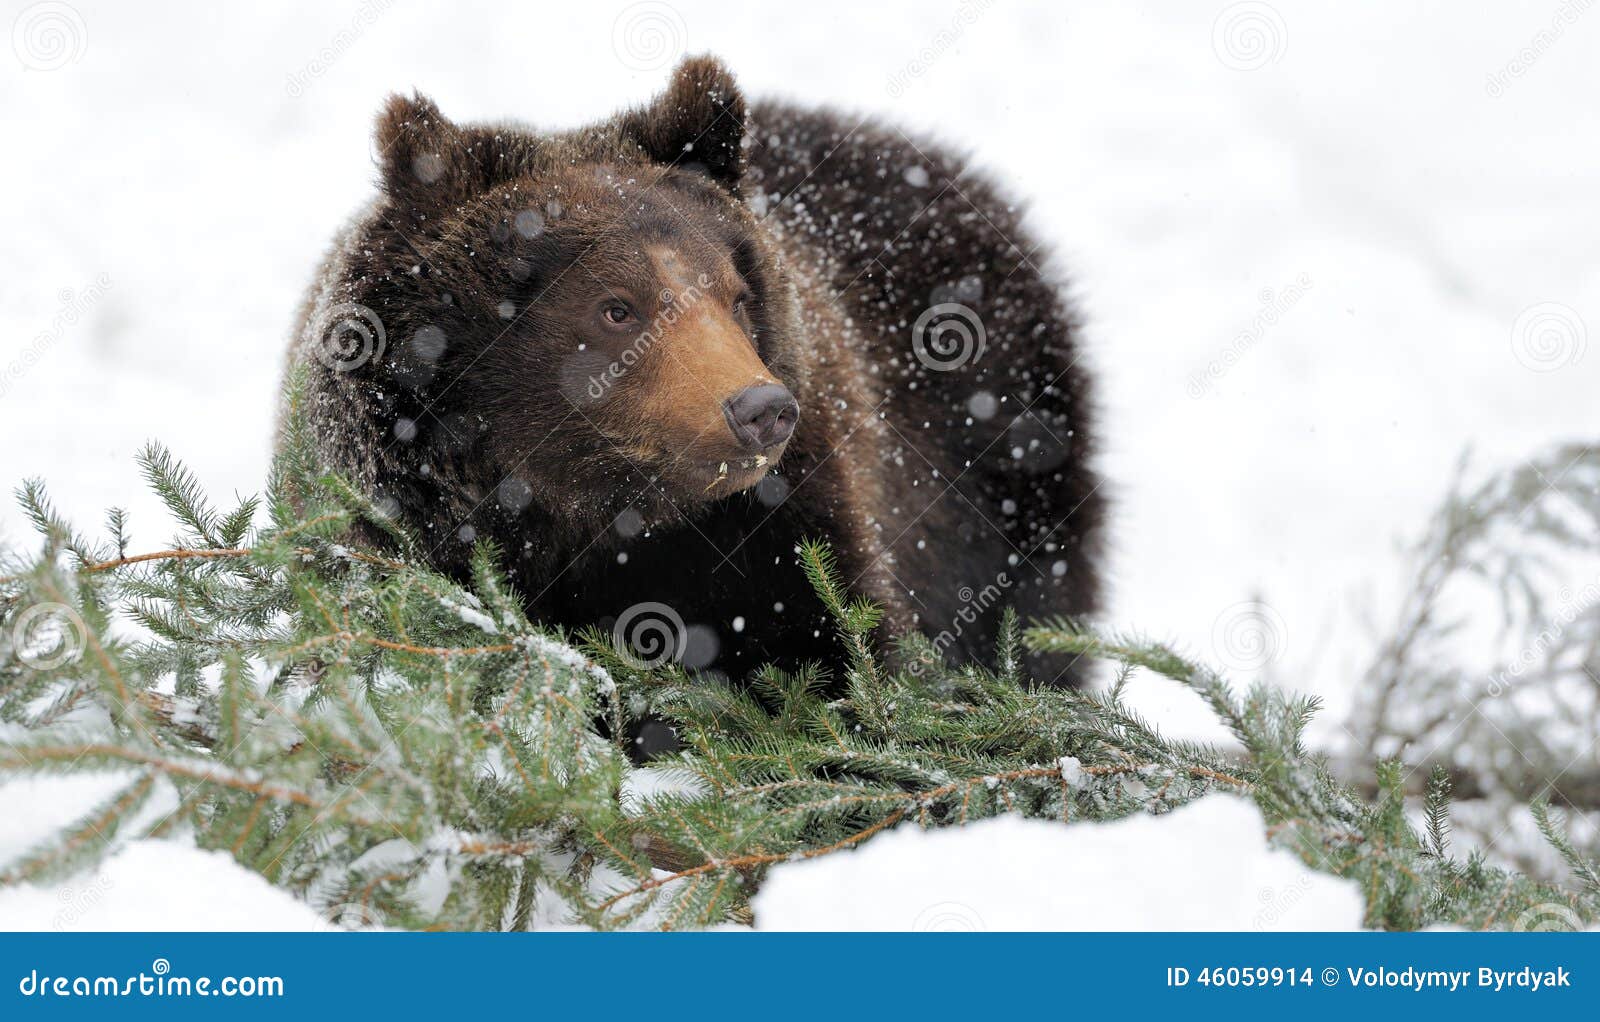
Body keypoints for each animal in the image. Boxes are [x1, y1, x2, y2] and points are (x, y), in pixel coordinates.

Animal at [283, 55, 1103, 689]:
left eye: (736, 296)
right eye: (617, 308)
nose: (760, 407)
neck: (589, 520)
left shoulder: (781, 536)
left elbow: (837, 658)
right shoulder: (403, 533)